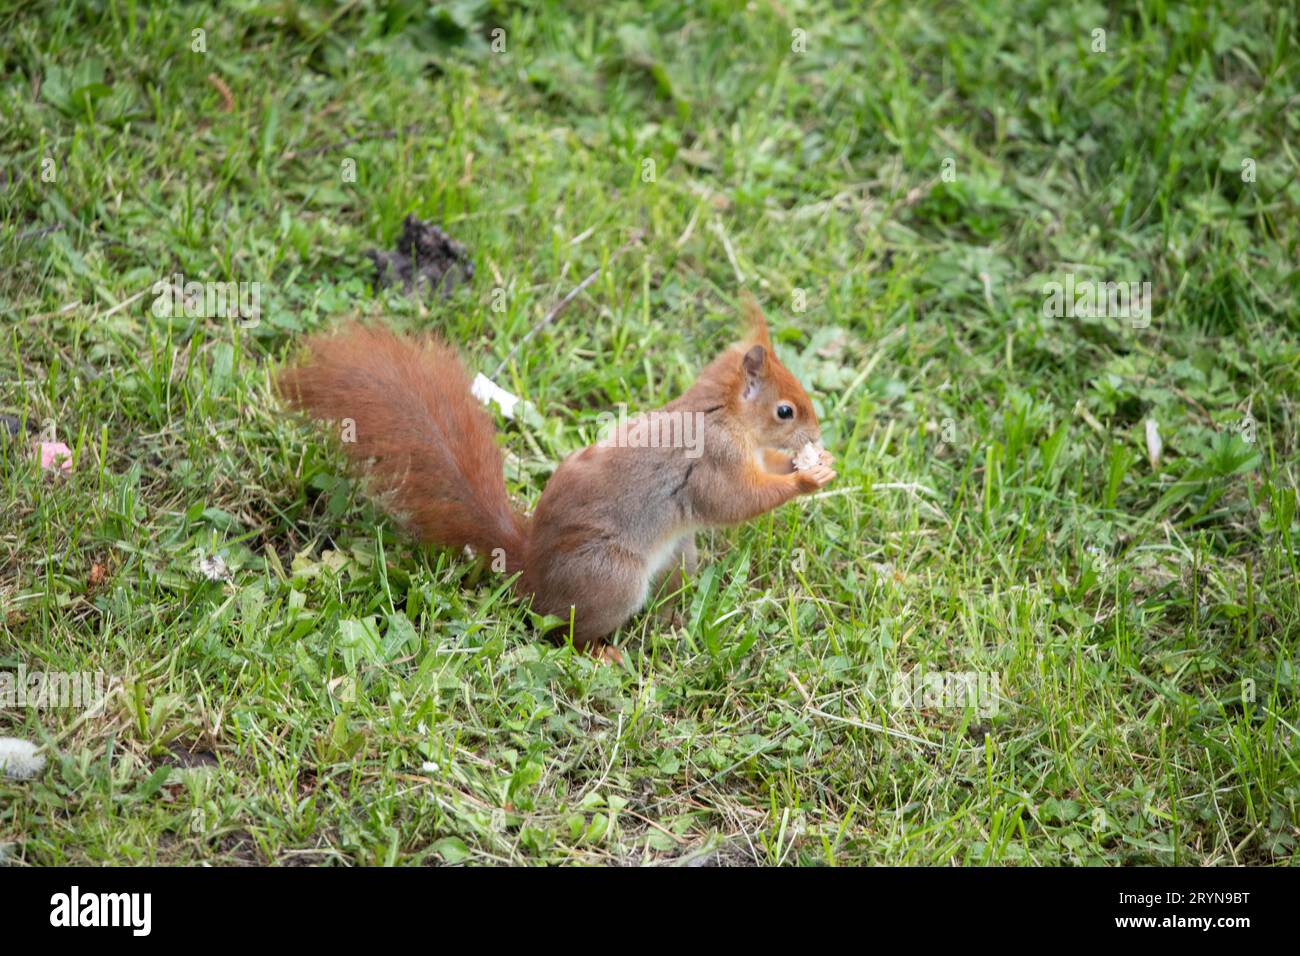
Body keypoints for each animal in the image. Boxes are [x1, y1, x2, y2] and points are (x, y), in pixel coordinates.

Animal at [277, 293, 836, 654]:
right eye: (786, 411)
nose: (817, 430)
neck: (720, 412)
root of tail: (529, 572)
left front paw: (808, 463)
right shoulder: (713, 459)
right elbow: (731, 502)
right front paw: (803, 479)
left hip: (678, 554)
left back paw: (673, 621)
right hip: (613, 578)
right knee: (564, 634)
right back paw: (604, 651)